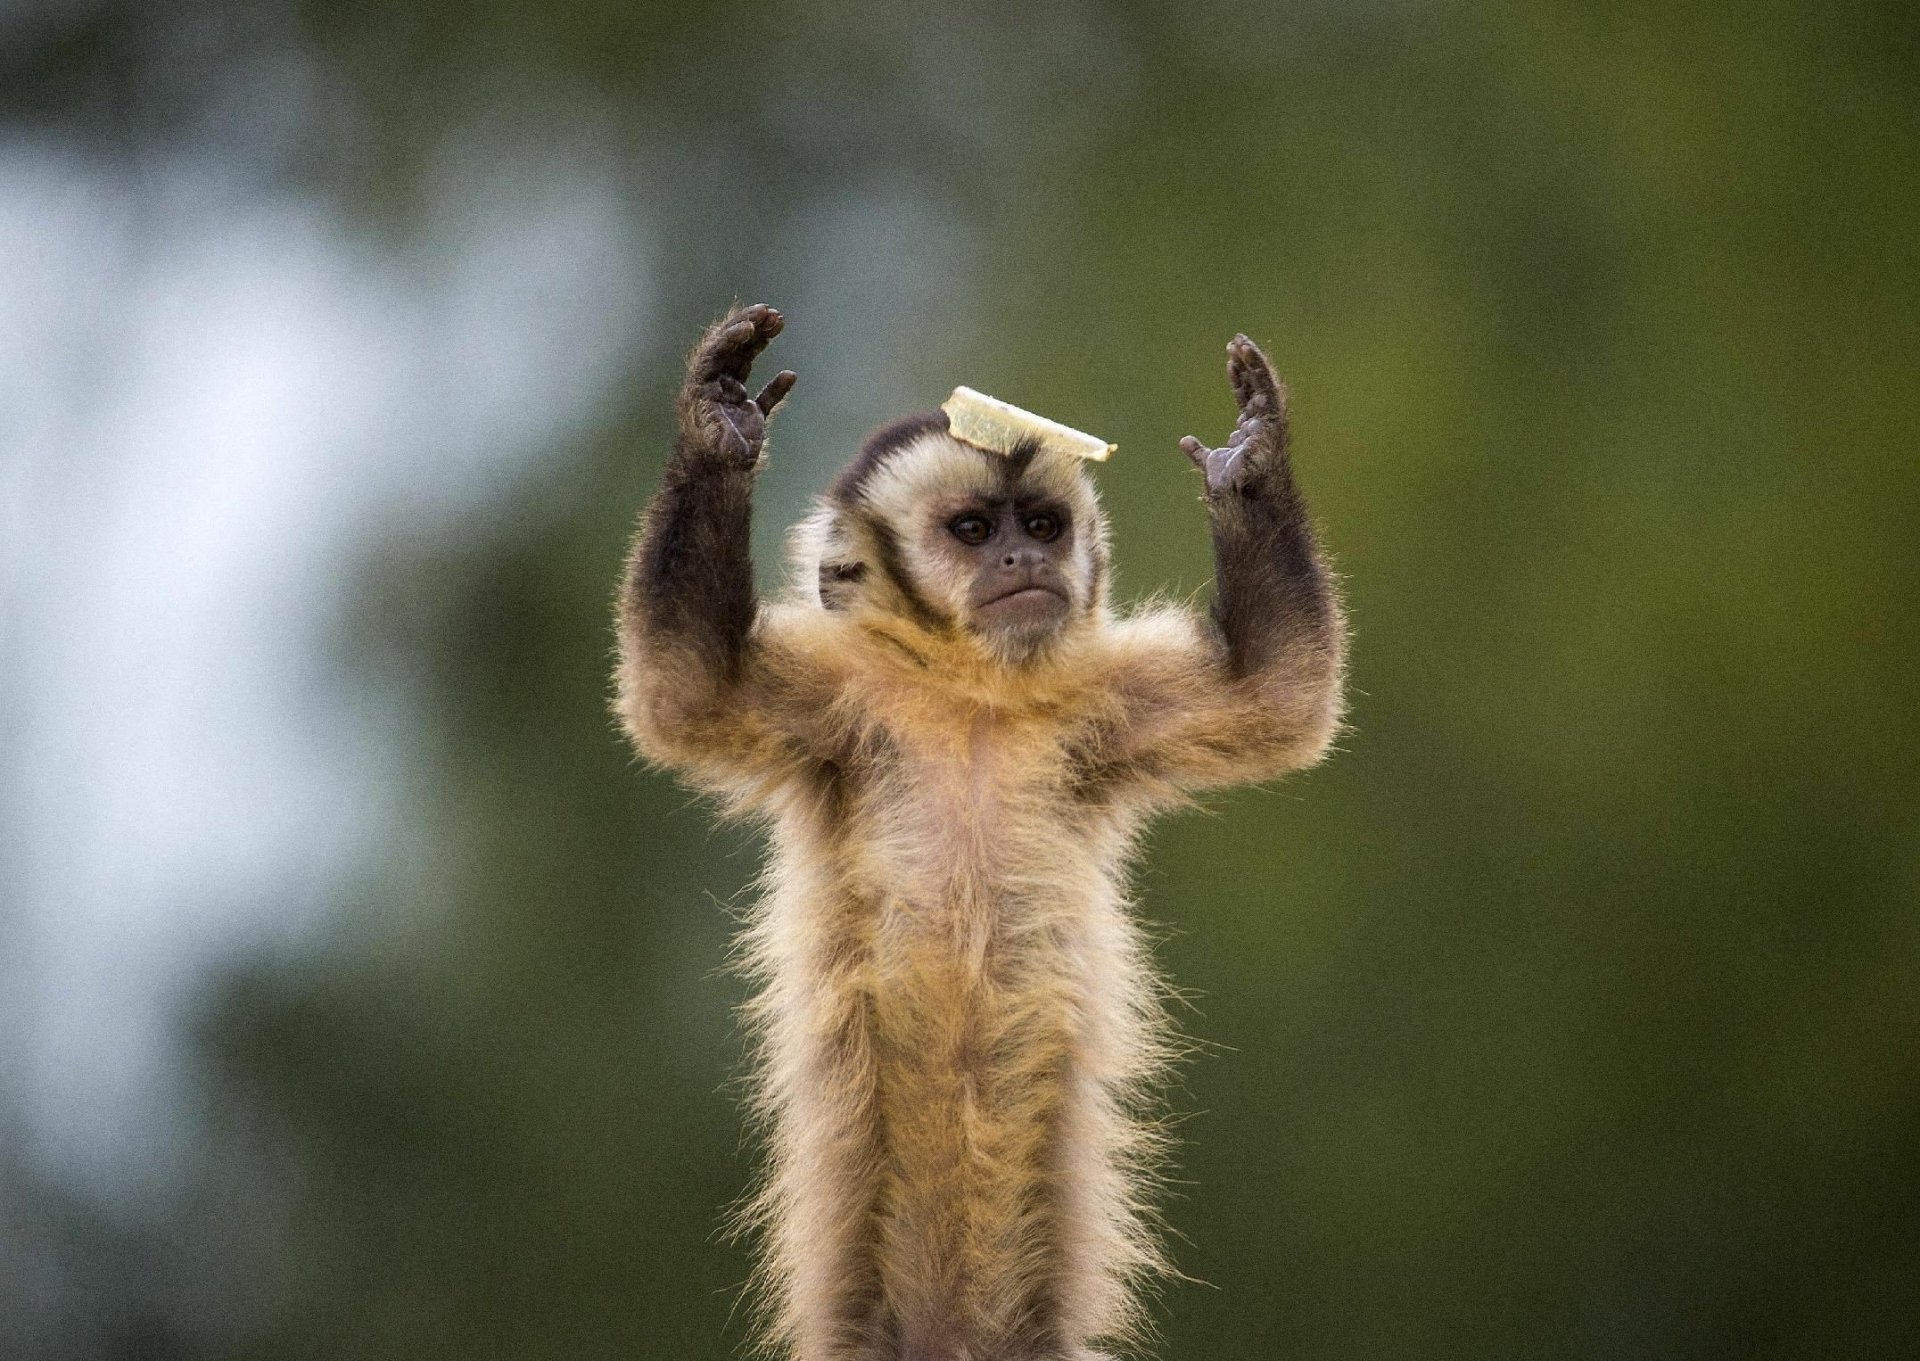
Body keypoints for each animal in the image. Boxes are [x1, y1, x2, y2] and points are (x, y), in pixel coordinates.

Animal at [614, 303, 1345, 1361]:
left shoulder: (1102, 699)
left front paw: (1248, 463)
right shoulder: (837, 695)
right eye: (971, 530)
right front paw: (718, 428)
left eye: (1041, 525)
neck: (974, 694)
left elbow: (1281, 696)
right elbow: (683, 691)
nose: (1021, 561)